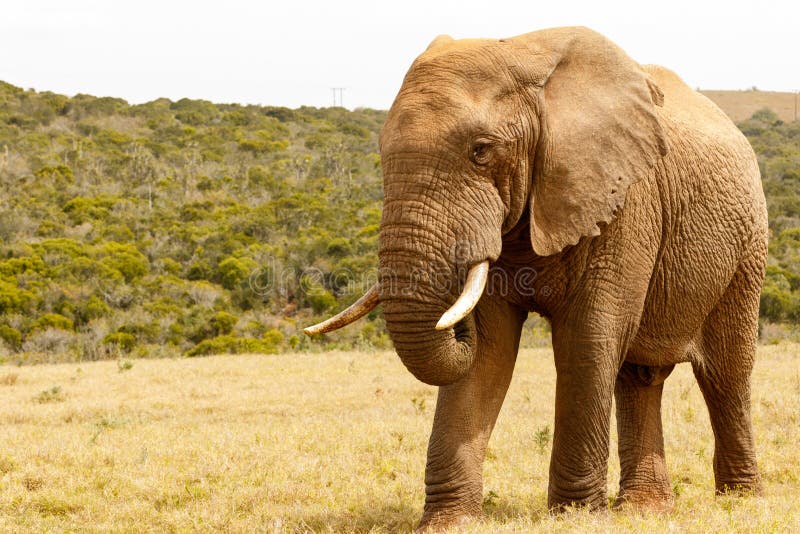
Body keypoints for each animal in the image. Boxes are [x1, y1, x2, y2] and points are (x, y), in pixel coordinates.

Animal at [306, 26, 767, 529]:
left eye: (480, 151)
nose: (454, 324)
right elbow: (490, 350)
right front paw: (449, 523)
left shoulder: (624, 199)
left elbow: (588, 339)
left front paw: (576, 517)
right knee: (639, 376)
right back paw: (644, 509)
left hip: (748, 248)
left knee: (726, 371)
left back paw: (740, 499)